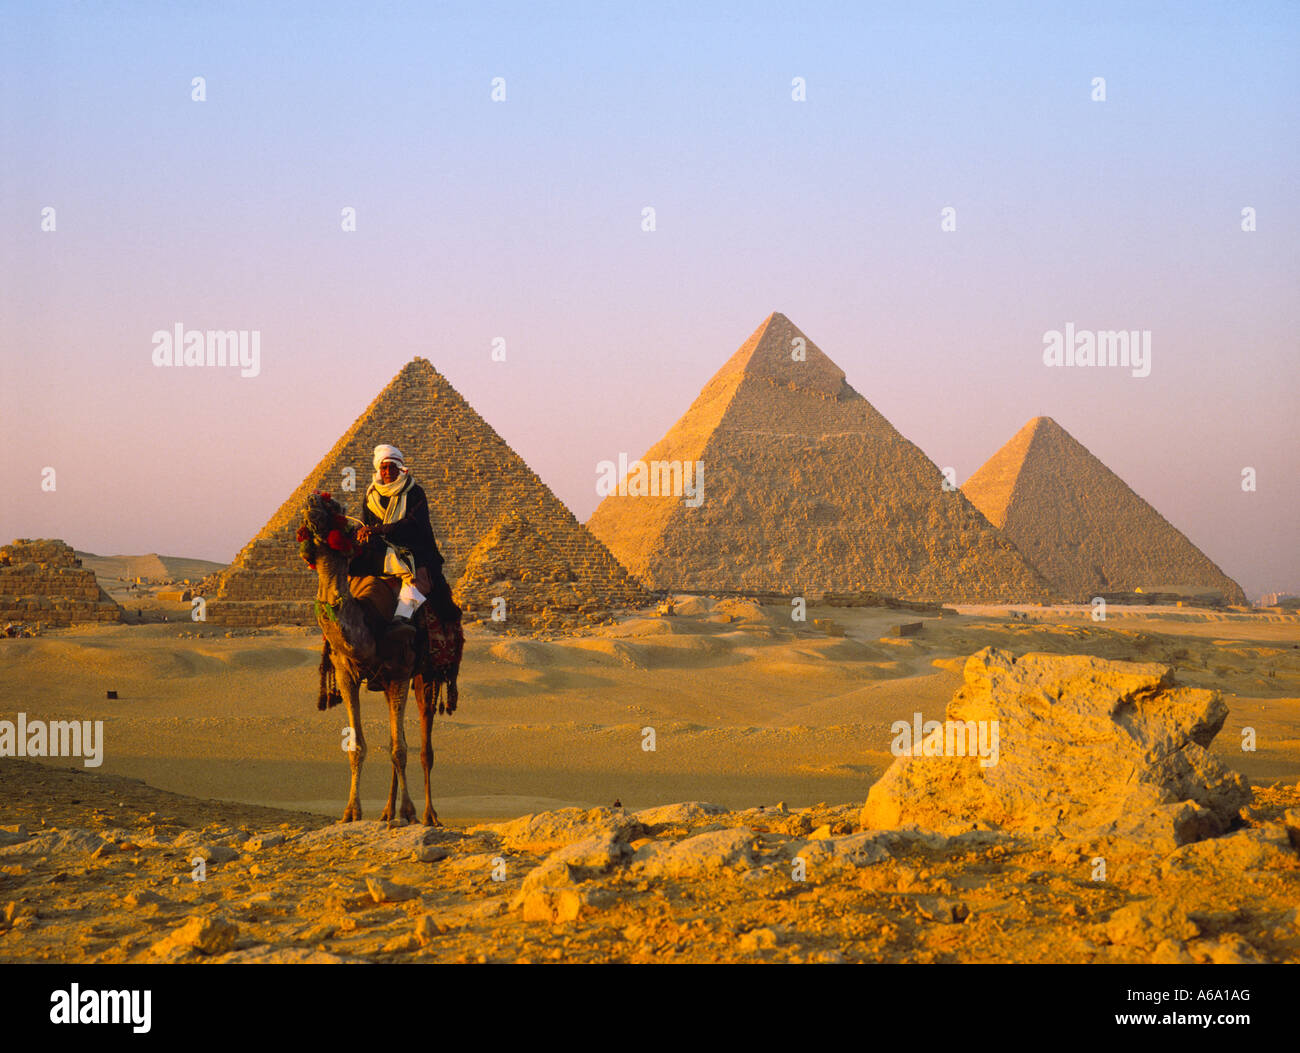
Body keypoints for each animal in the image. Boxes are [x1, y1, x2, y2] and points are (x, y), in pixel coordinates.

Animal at [299, 492, 462, 826]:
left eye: (335, 507)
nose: (311, 499)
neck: (369, 621)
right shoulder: (346, 674)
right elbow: (358, 746)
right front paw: (351, 811)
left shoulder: (399, 673)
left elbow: (400, 749)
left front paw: (409, 811)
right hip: (388, 683)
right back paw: (387, 811)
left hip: (425, 675)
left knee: (425, 747)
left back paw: (428, 814)